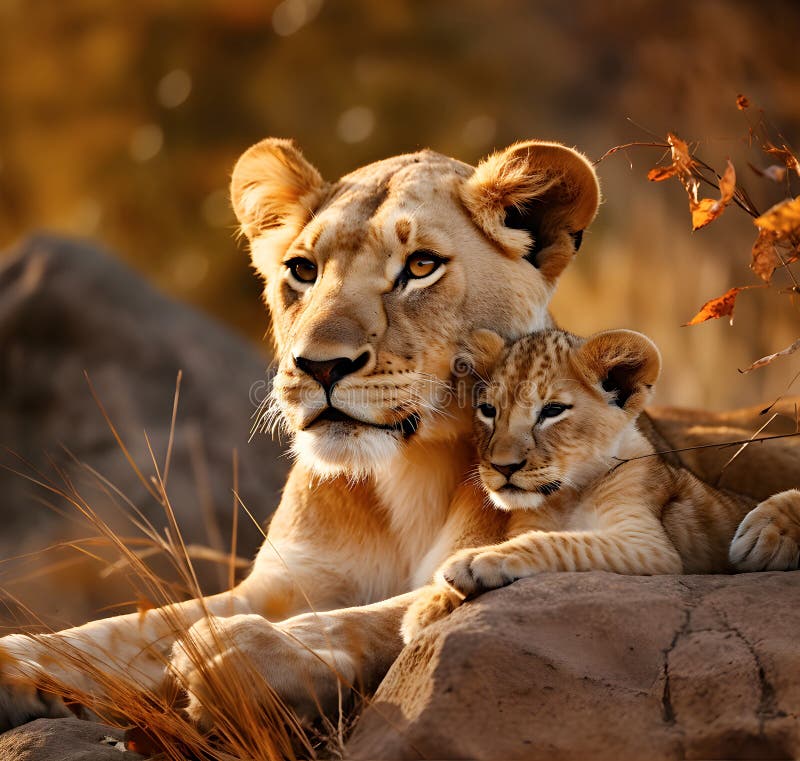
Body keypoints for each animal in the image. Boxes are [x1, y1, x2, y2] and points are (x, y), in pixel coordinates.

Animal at [0, 138, 798, 731]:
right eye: (301, 269)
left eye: (420, 266)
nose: (319, 365)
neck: (397, 478)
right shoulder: (284, 579)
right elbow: (126, 627)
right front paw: (22, 664)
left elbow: (368, 622)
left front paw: (230, 655)